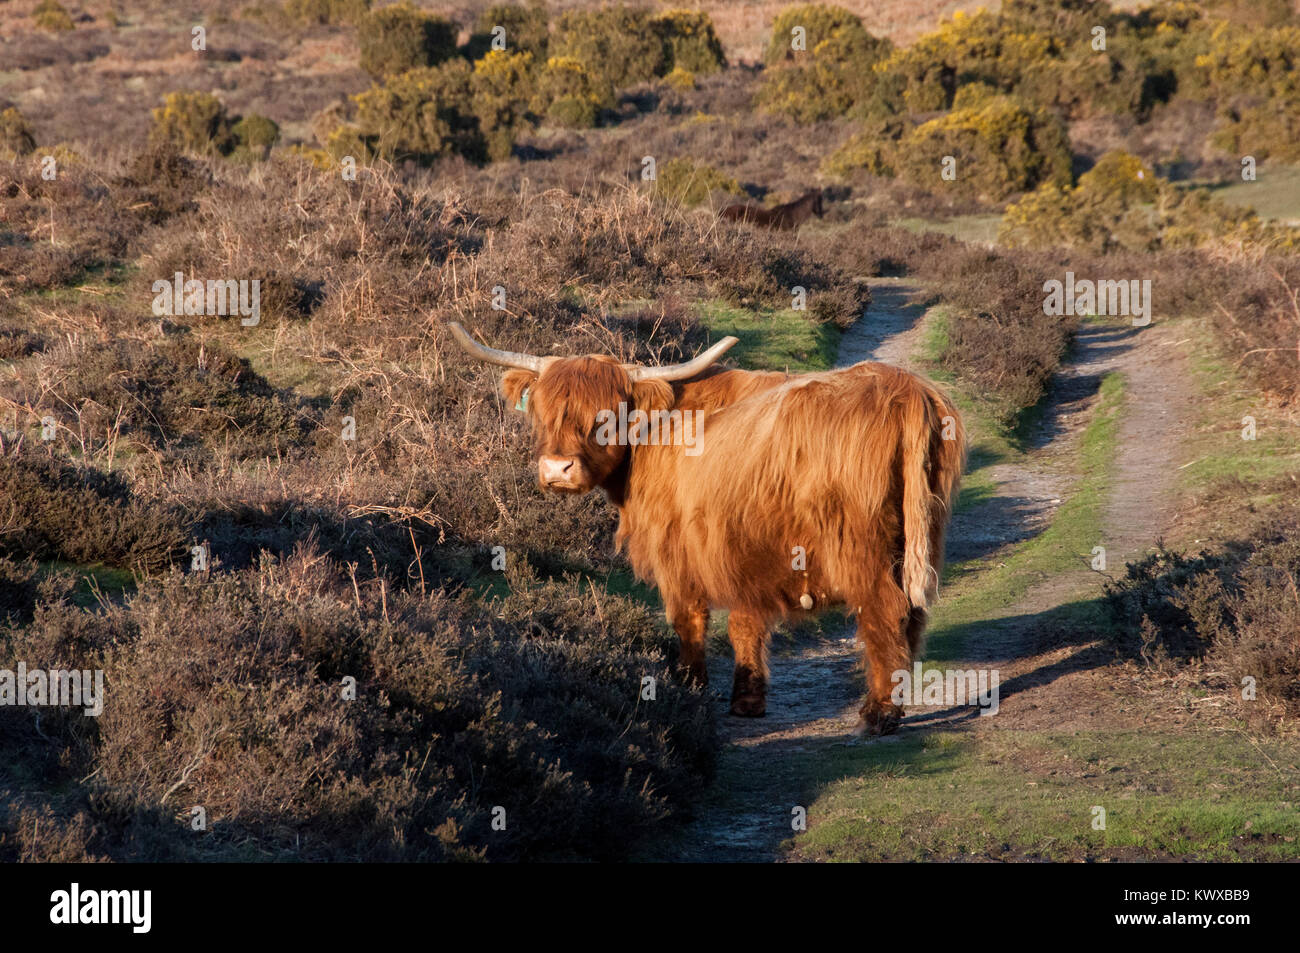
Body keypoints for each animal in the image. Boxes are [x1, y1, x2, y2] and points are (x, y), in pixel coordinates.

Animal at [450, 322, 965, 735]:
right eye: (542, 410)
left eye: (604, 415)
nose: (557, 469)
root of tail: (905, 388)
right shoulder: (746, 551)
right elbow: (745, 623)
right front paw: (747, 700)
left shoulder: (680, 548)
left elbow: (690, 620)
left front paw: (691, 690)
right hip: (921, 532)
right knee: (913, 613)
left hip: (859, 544)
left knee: (885, 610)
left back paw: (879, 713)